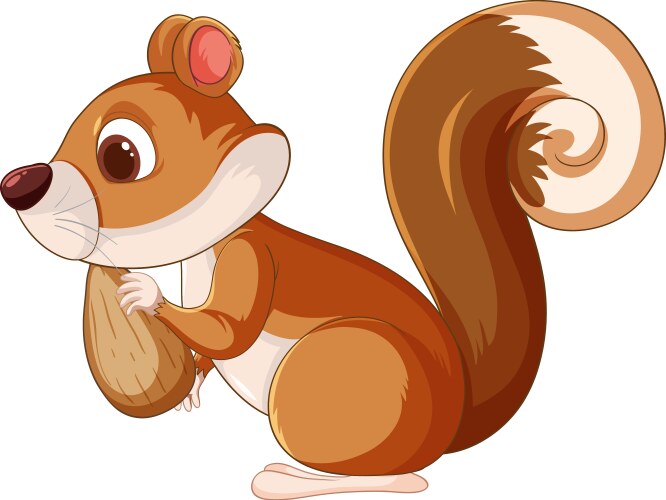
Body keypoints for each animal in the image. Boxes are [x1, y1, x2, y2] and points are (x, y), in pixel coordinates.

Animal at [1, 2, 663, 499]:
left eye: (122, 155)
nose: (18, 186)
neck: (208, 243)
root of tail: (453, 421)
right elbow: (214, 346)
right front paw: (191, 384)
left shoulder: (250, 258)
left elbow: (227, 328)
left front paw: (146, 291)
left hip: (327, 373)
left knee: (403, 478)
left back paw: (289, 478)